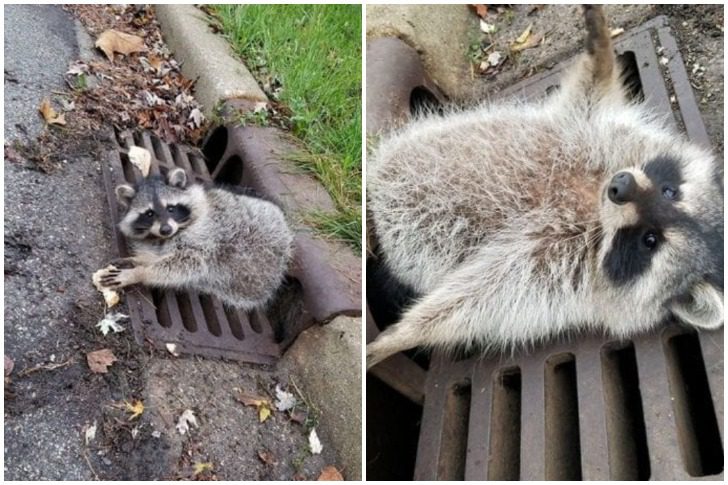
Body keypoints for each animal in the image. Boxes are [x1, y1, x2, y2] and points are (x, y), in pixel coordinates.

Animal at [97, 167, 294, 310]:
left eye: (171, 208)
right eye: (150, 213)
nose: (166, 229)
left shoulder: (206, 236)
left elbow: (190, 262)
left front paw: (139, 272)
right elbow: (160, 255)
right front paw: (140, 260)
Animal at [367, 5, 724, 369]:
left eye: (649, 240)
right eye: (670, 191)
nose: (621, 186)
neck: (593, 199)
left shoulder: (552, 272)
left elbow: (477, 296)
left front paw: (405, 333)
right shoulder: (592, 131)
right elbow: (590, 93)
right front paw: (601, 46)